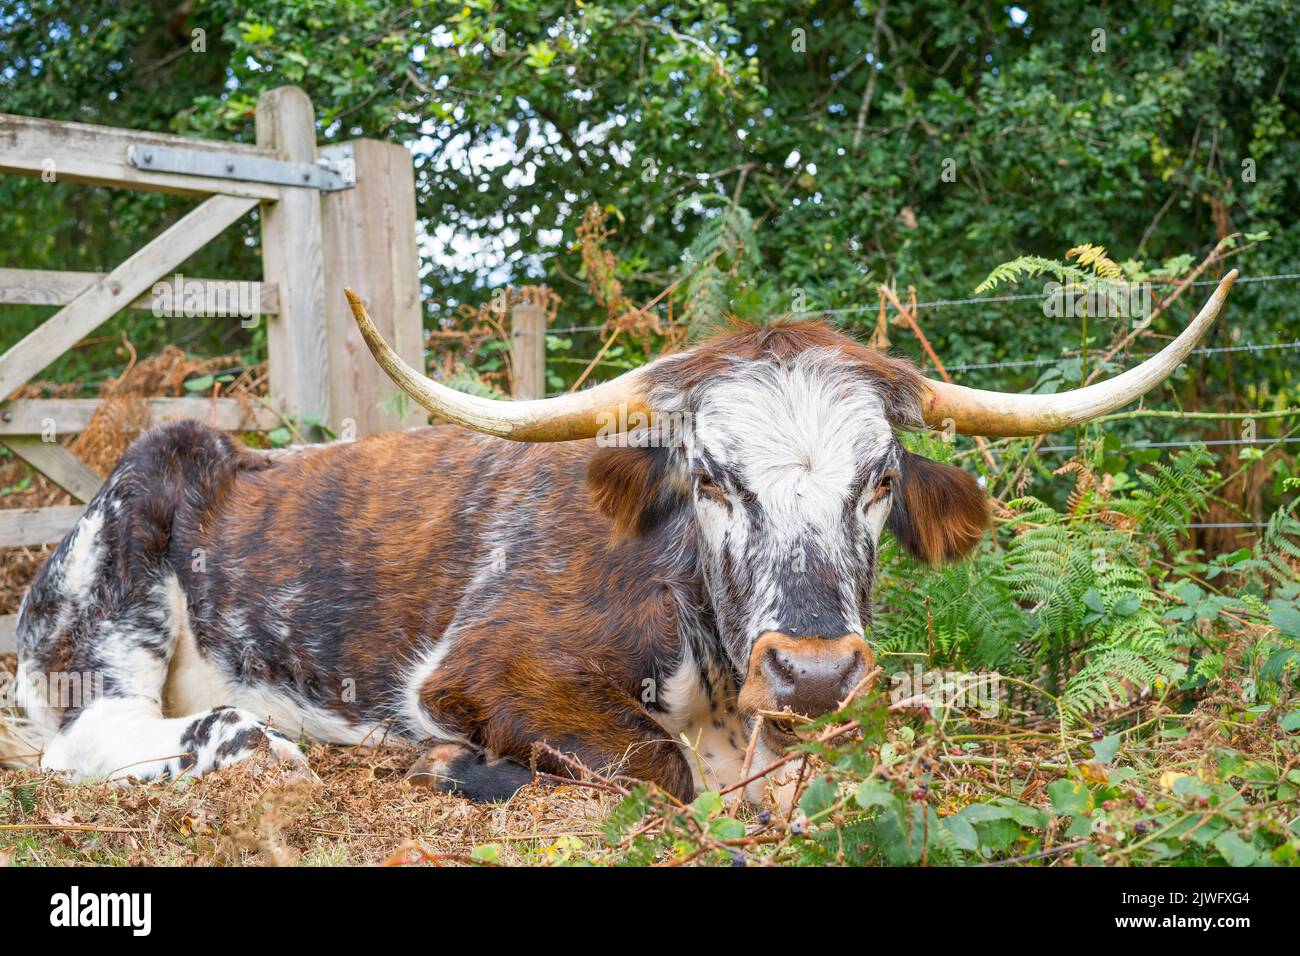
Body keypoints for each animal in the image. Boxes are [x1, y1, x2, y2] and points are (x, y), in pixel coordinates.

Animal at [3, 272, 1237, 803]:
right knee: (95, 735)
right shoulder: (485, 669)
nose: (813, 667)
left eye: (880, 478)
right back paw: (245, 738)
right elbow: (663, 766)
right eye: (711, 476)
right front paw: (464, 764)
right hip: (112, 589)